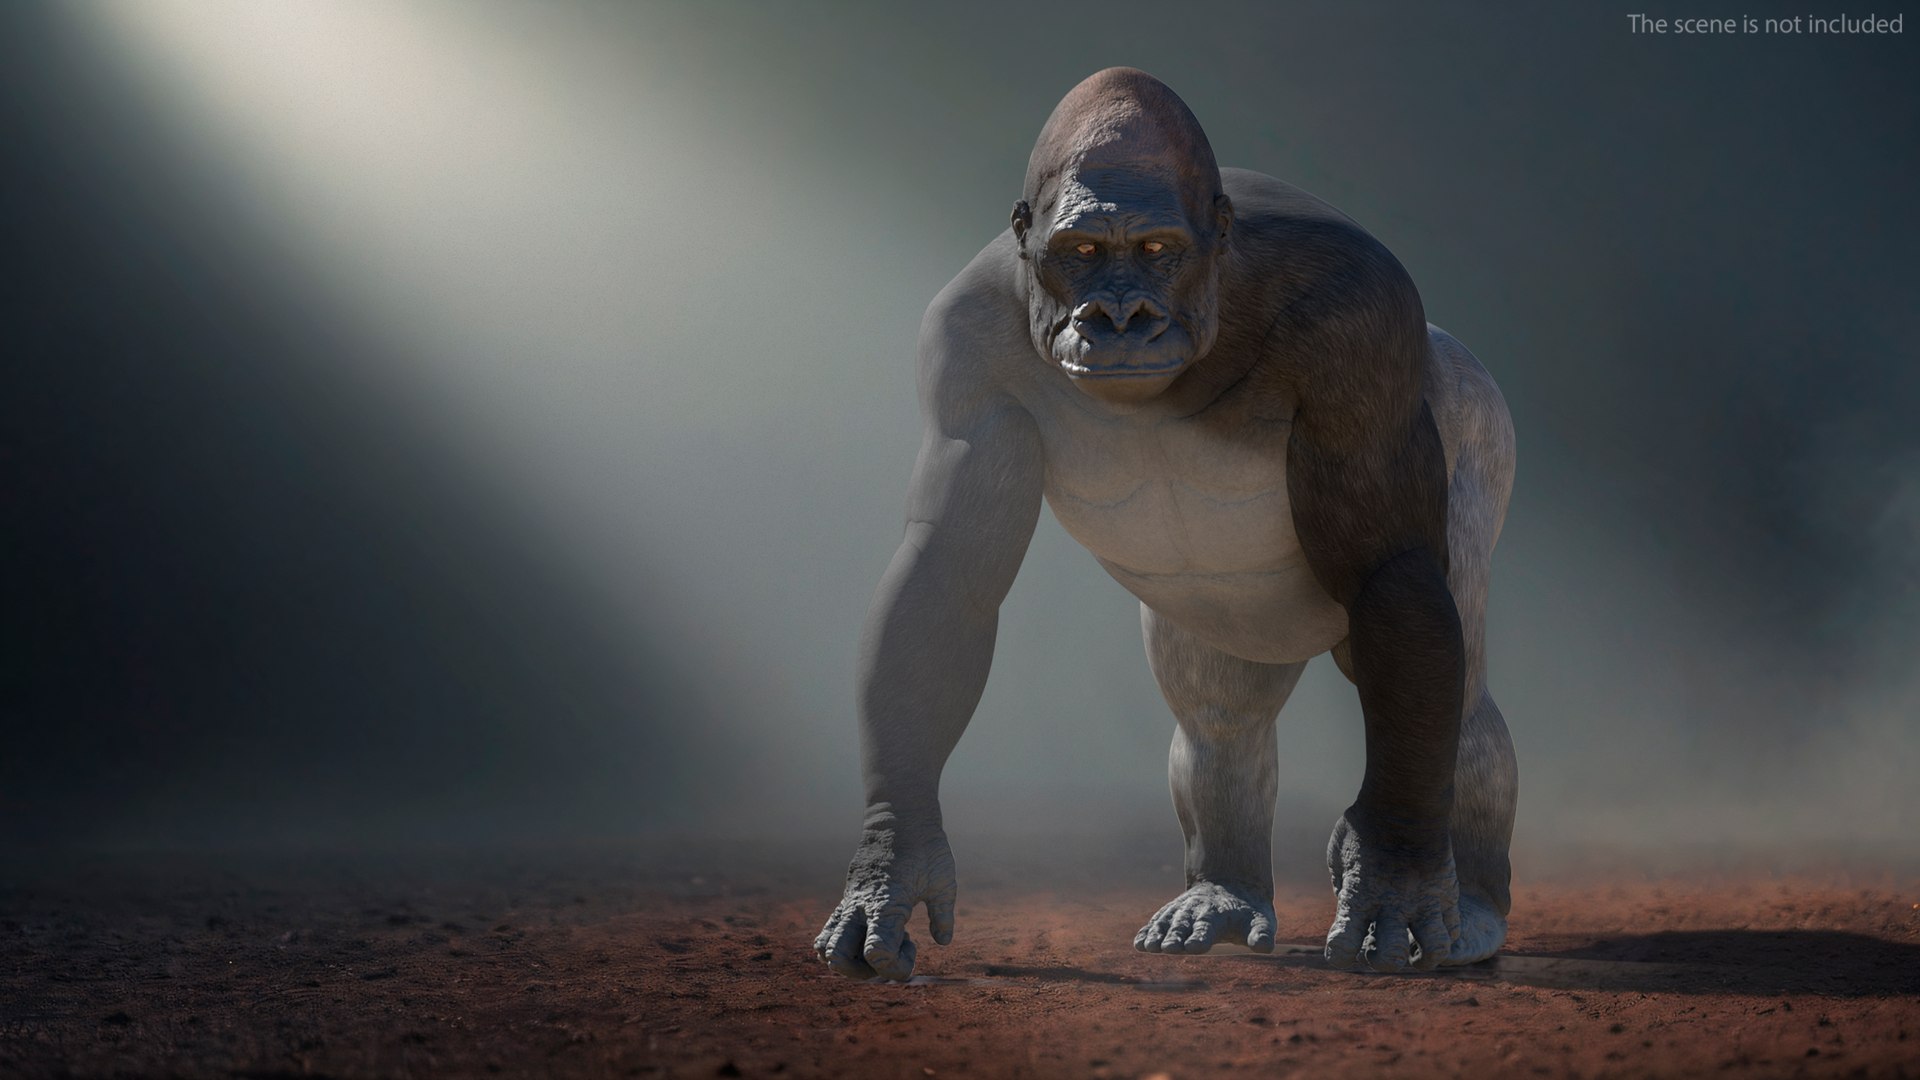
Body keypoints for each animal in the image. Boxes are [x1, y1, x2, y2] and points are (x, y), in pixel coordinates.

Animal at [814, 67, 1517, 978]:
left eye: (1154, 249)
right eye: (1082, 253)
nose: (1120, 317)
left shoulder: (1366, 325)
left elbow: (1390, 570)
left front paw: (1392, 870)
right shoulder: (960, 351)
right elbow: (947, 583)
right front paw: (893, 864)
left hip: (1473, 406)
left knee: (1452, 696)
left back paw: (1472, 907)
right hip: (1232, 632)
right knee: (1219, 722)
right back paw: (1222, 894)